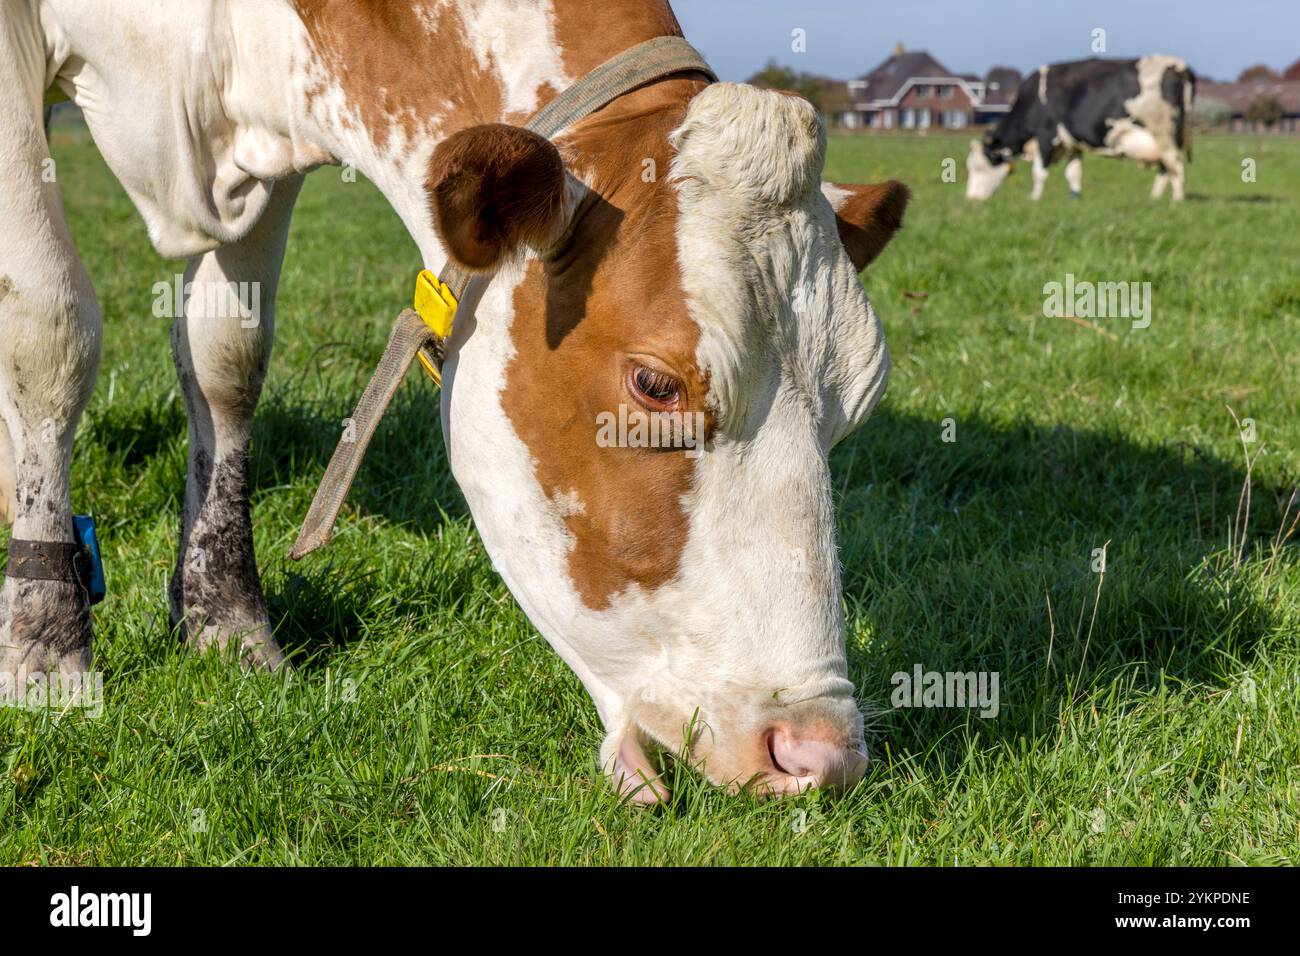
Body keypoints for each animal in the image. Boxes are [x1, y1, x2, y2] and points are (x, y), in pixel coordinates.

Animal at [0, 1, 909, 803]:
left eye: (856, 410)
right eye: (656, 385)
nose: (819, 753)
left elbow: (227, 358)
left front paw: (227, 620)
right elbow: (48, 327)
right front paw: (45, 641)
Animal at [966, 55, 1195, 202]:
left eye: (979, 167)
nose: (971, 199)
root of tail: (1179, 65)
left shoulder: (1046, 136)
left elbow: (1039, 172)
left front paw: (1034, 198)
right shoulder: (1071, 143)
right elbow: (1073, 173)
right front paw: (1075, 198)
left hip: (1163, 132)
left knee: (1174, 164)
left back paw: (1177, 200)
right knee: (1166, 167)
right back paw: (1154, 198)